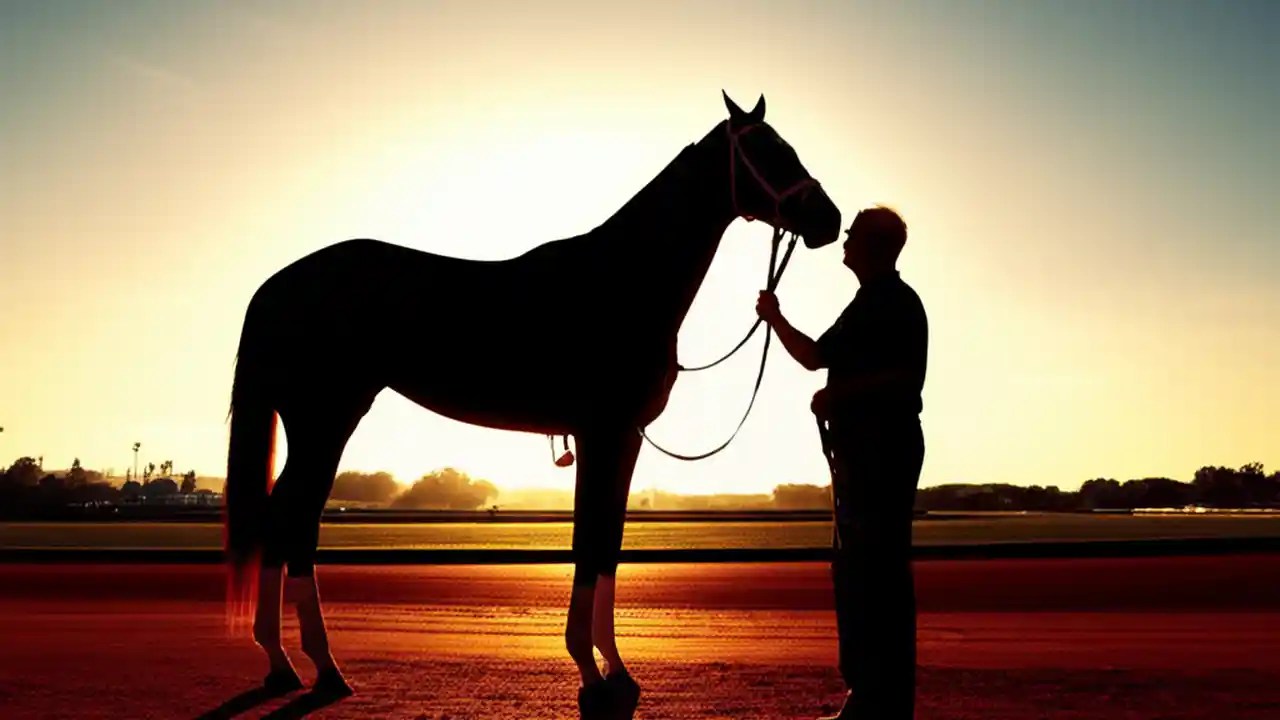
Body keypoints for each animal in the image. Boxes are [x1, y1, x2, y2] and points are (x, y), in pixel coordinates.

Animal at [222, 90, 840, 716]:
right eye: (767, 149)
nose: (830, 220)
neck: (622, 278)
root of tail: (277, 286)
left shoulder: (625, 439)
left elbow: (608, 544)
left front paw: (617, 670)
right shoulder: (603, 433)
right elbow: (587, 543)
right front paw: (591, 672)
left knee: (283, 518)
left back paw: (284, 662)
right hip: (326, 419)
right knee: (294, 520)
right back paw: (321, 666)